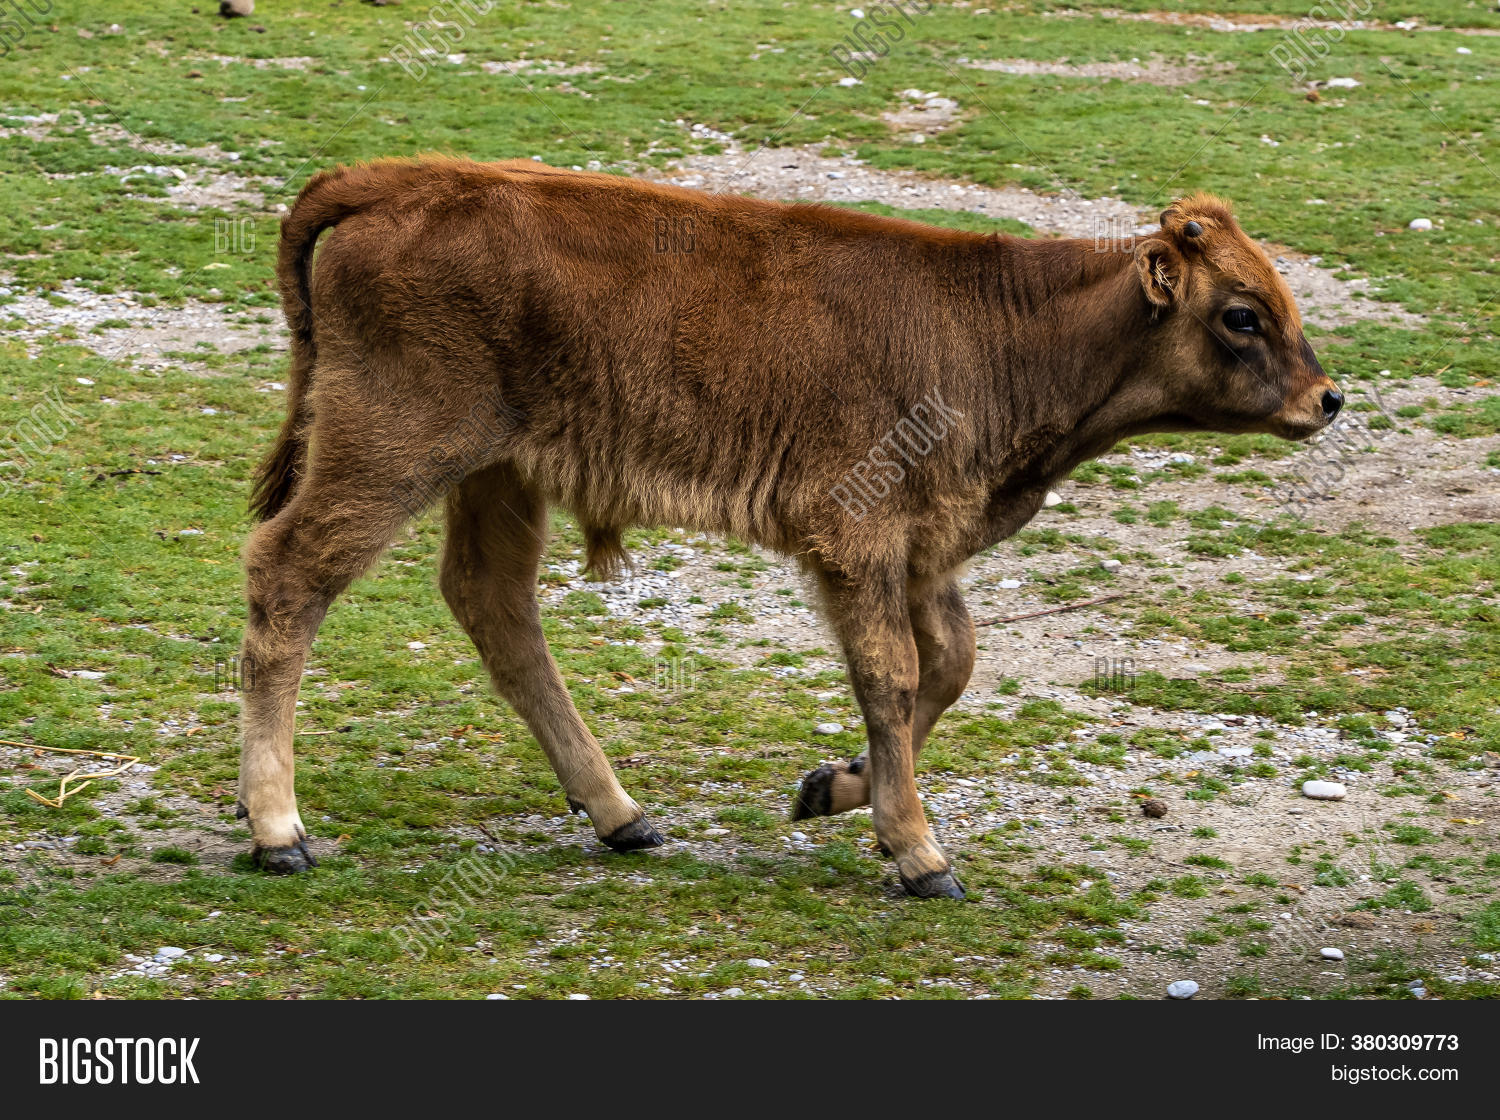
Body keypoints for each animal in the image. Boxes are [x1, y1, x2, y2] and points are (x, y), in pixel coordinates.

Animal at [237, 157, 1341, 898]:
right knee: (289, 578)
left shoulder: (921, 549)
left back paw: (621, 815)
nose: (1327, 398)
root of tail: (404, 179)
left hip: (498, 476)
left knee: (496, 610)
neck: (1000, 326)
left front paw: (833, 788)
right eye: (1242, 314)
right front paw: (917, 851)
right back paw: (279, 831)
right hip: (391, 455)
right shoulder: (857, 539)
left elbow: (947, 667)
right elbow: (893, 675)